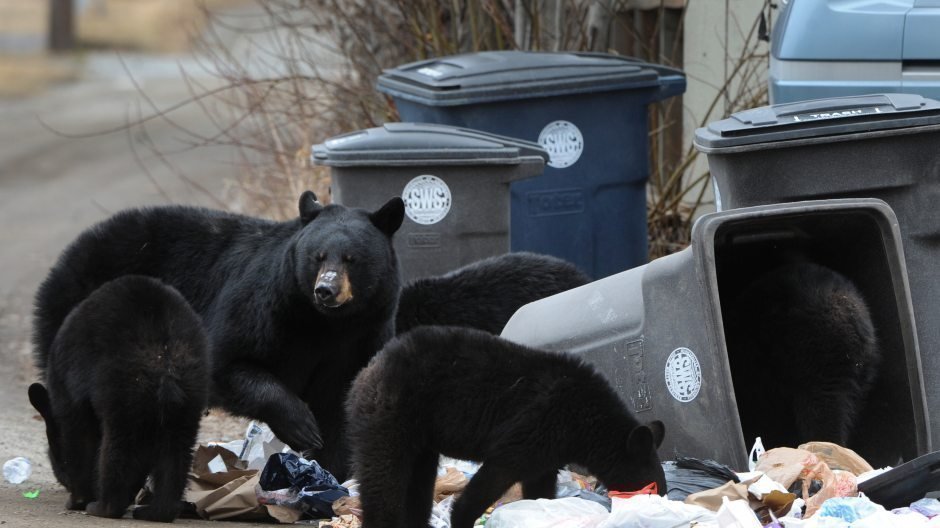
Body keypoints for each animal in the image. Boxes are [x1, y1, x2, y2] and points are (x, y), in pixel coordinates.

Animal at [28, 275, 209, 522]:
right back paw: (157, 512)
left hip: (122, 386)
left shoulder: (68, 388)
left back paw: (104, 507)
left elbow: (78, 438)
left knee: (116, 447)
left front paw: (78, 498)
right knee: (177, 450)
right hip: (189, 390)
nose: (62, 479)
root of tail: (165, 356)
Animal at [32, 192, 404, 481]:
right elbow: (226, 361)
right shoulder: (264, 306)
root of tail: (68, 257)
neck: (323, 323)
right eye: (318, 256)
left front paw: (327, 471)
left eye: (351, 259)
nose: (325, 290)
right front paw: (301, 426)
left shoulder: (361, 336)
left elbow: (340, 401)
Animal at [346, 325, 666, 528]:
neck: (585, 423)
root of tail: (368, 368)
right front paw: (462, 518)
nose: (661, 502)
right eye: (652, 487)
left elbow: (539, 487)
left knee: (418, 487)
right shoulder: (534, 427)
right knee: (383, 482)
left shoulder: (548, 451)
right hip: (389, 417)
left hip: (420, 437)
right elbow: (497, 472)